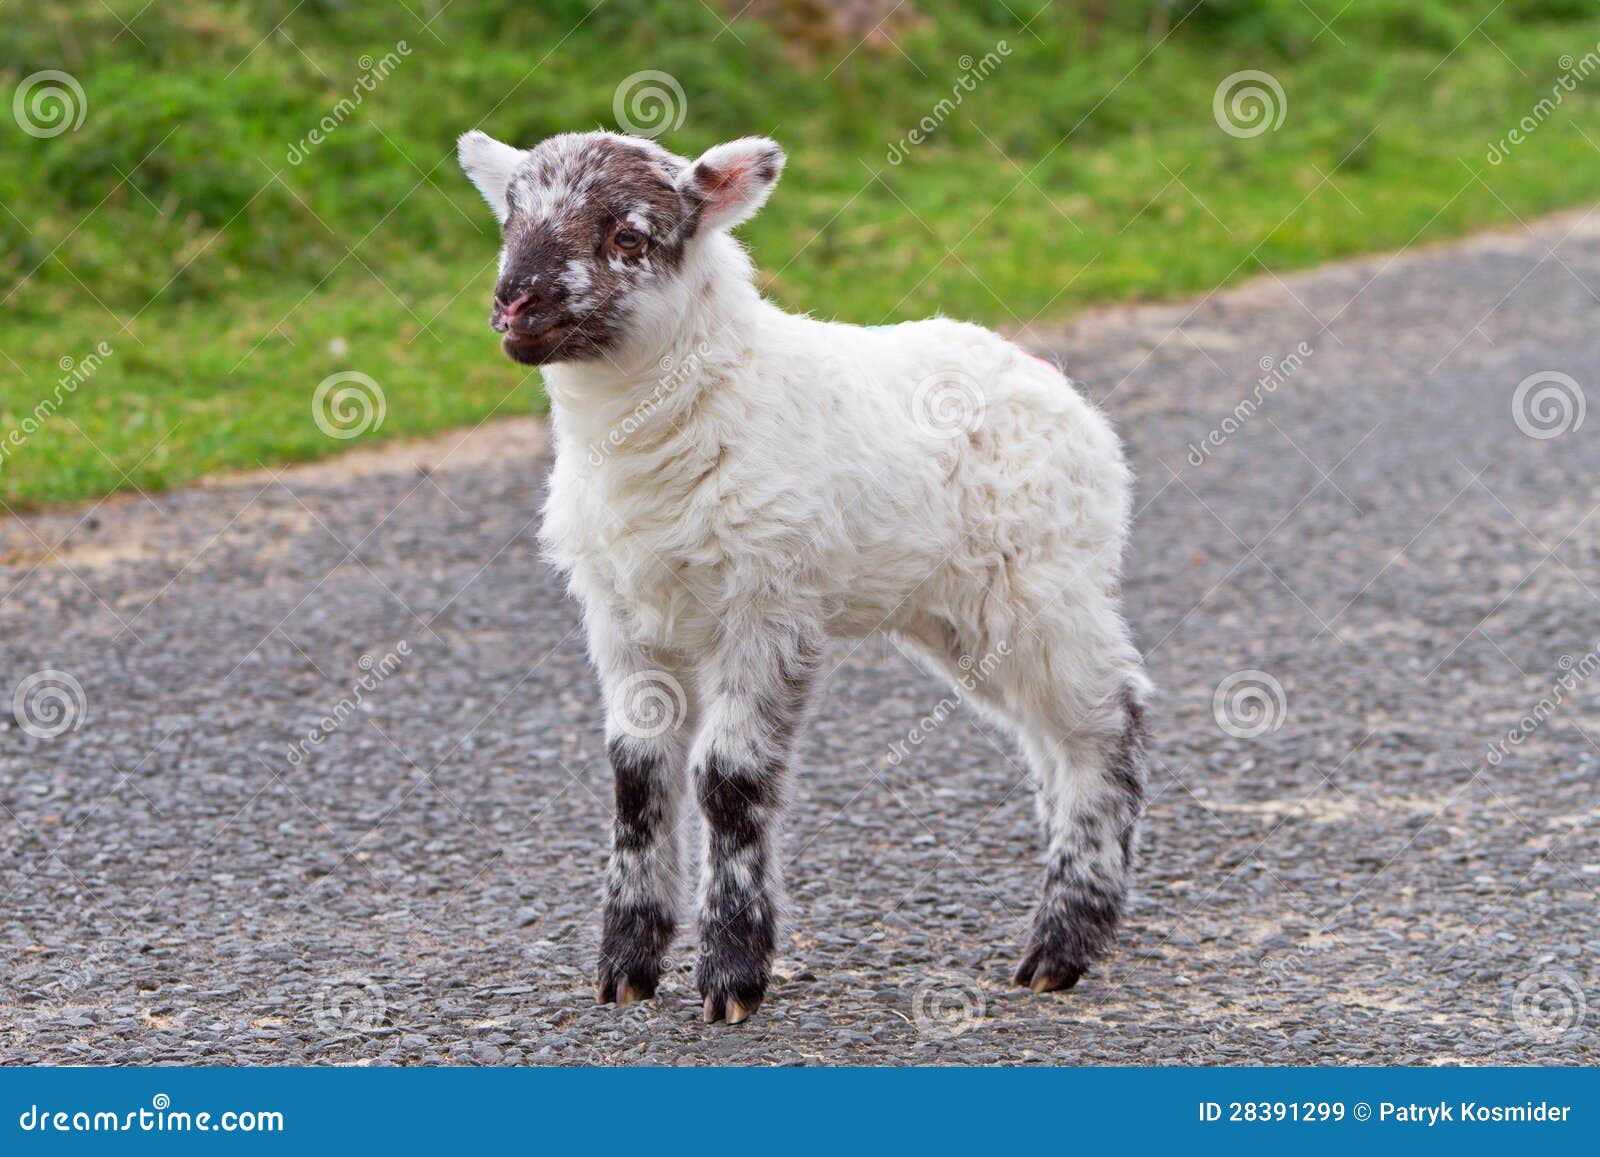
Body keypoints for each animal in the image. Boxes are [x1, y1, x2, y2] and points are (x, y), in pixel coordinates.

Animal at [458, 128, 1152, 1025]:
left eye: (629, 237)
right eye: (510, 221)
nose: (516, 305)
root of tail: (1053, 382)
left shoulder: (768, 601)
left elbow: (728, 777)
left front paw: (731, 972)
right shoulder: (621, 614)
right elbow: (636, 777)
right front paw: (627, 965)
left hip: (1042, 581)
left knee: (1109, 722)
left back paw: (1063, 942)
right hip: (961, 615)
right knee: (1054, 738)